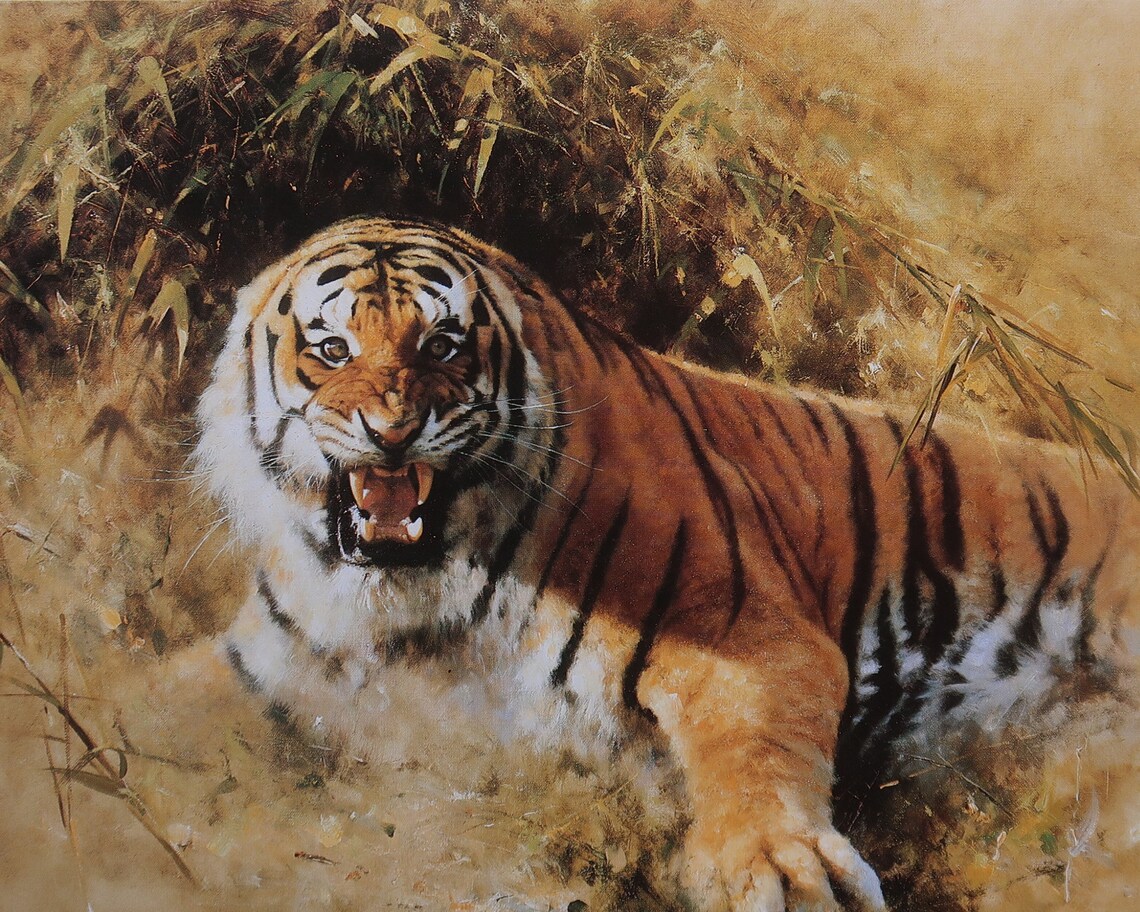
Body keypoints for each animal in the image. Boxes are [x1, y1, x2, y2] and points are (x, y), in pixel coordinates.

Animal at [195, 216, 1139, 912]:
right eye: (332, 350)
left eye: (443, 346)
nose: (392, 432)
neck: (420, 600)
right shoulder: (265, 666)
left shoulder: (749, 634)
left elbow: (754, 752)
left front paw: (782, 871)